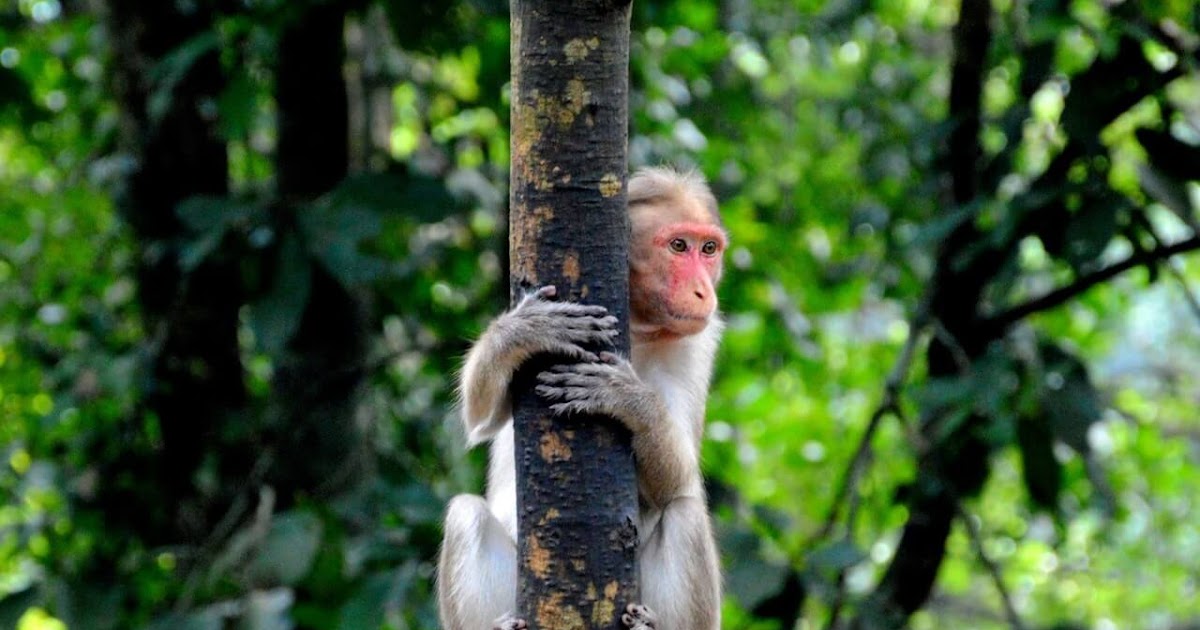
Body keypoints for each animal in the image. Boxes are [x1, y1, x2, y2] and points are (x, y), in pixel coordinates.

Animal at [438, 167, 726, 630]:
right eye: (679, 246)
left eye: (709, 249)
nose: (704, 291)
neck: (639, 324)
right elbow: (481, 415)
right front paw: (524, 331)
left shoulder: (698, 342)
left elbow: (680, 479)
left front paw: (629, 399)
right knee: (465, 512)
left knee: (685, 513)